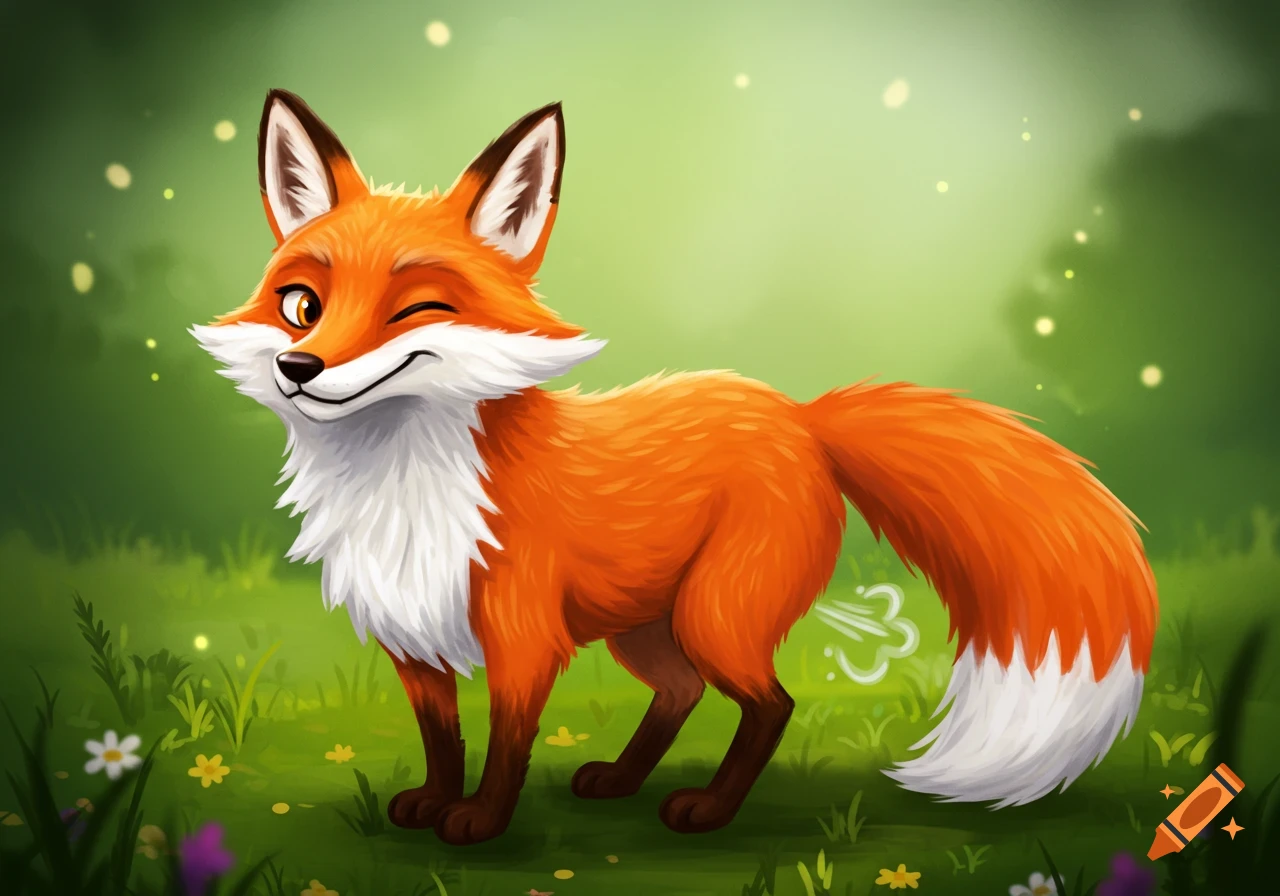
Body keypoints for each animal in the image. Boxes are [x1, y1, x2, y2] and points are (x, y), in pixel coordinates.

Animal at [193, 89, 1159, 846]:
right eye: (301, 305)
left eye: (413, 310)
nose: (300, 368)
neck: (404, 489)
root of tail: (800, 416)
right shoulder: (410, 638)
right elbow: (444, 739)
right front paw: (433, 801)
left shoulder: (522, 635)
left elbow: (505, 743)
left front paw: (479, 824)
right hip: (647, 627)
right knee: (683, 691)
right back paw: (621, 781)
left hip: (716, 613)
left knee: (769, 705)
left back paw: (708, 810)